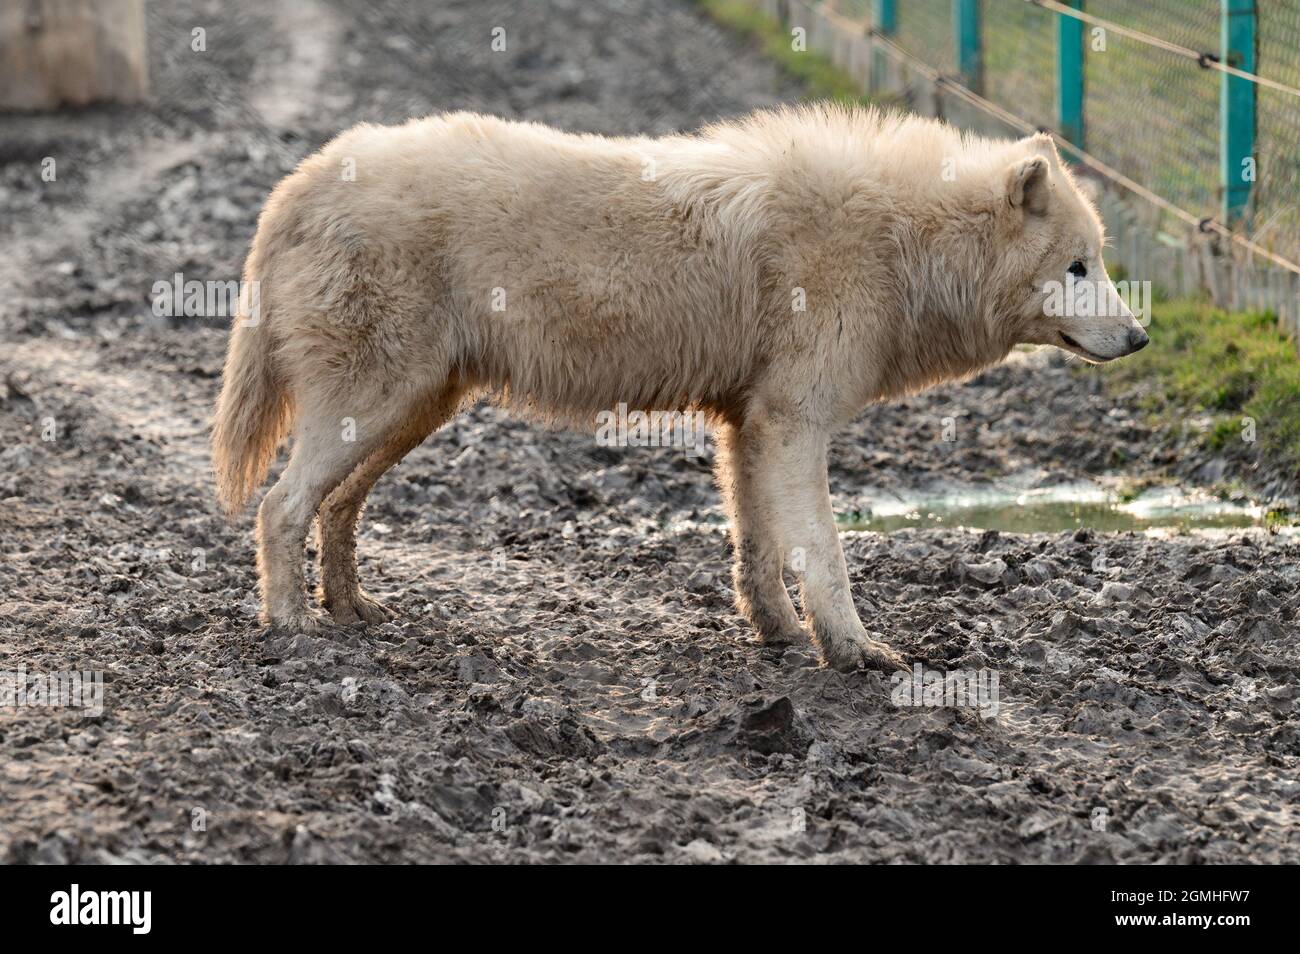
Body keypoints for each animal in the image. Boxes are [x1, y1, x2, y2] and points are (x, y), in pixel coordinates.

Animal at [212, 105, 1147, 671]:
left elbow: (759, 551)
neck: (904, 240)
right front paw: (853, 652)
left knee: (335, 507)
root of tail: (302, 178)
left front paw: (777, 635)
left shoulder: (749, 426)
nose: (1140, 337)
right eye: (1079, 266)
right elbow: (825, 553)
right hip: (374, 407)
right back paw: (292, 627)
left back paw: (350, 608)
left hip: (410, 412)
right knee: (278, 507)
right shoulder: (793, 423)